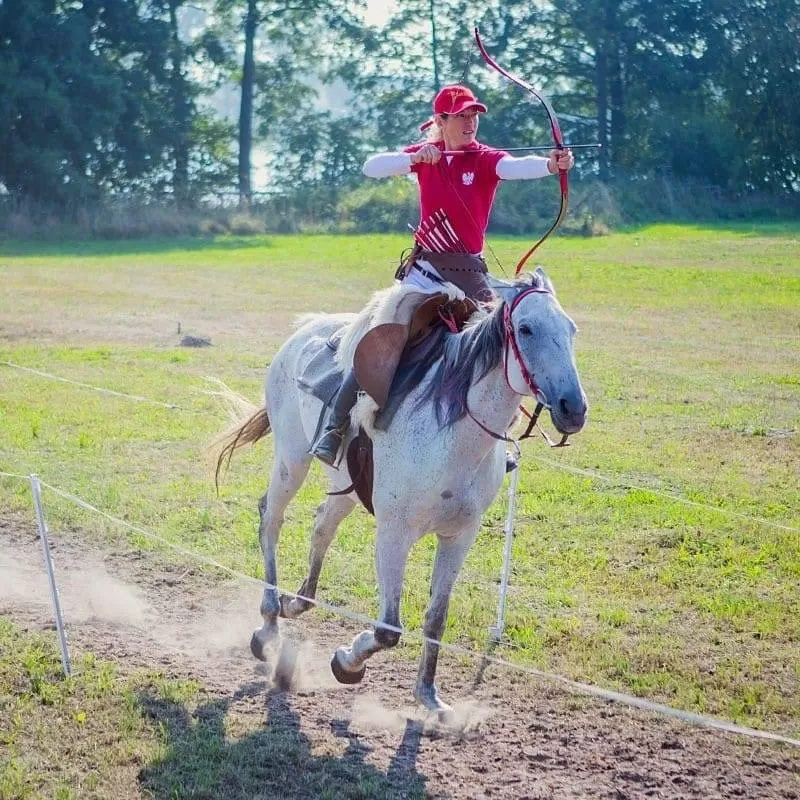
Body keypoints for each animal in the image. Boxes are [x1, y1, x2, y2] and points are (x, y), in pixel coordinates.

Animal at [214, 268, 588, 712]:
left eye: (571, 329)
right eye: (527, 328)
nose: (573, 408)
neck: (452, 434)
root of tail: (306, 329)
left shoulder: (459, 536)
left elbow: (435, 618)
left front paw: (428, 695)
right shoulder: (394, 534)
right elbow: (389, 628)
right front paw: (348, 662)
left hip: (346, 485)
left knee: (322, 526)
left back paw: (296, 602)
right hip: (291, 461)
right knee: (271, 520)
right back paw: (269, 624)